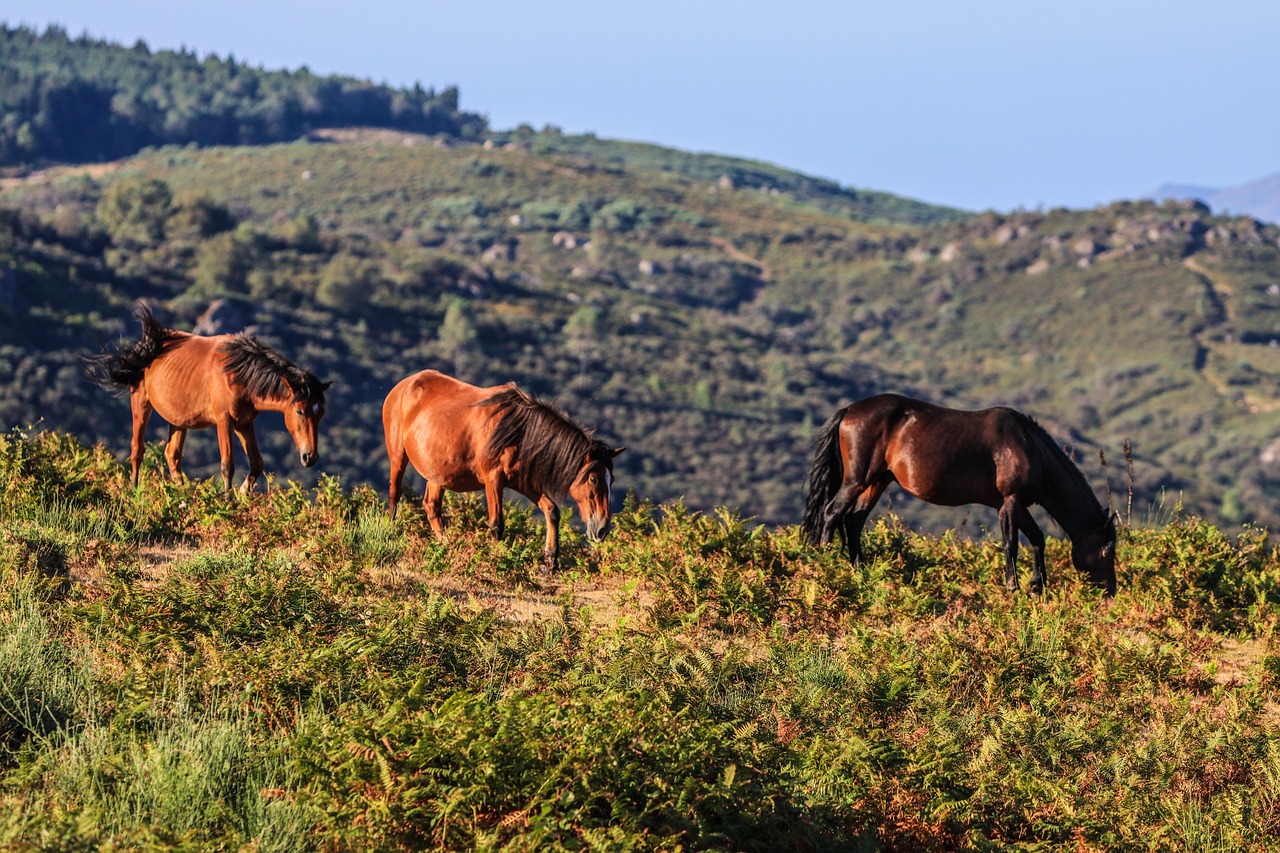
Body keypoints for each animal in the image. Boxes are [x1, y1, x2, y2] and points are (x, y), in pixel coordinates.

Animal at [84, 302, 331, 491]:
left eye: (321, 414)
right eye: (299, 410)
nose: (310, 457)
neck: (238, 374)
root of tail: (150, 343)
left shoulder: (244, 423)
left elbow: (256, 464)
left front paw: (242, 494)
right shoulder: (224, 421)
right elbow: (227, 465)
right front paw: (228, 500)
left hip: (178, 419)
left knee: (172, 454)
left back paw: (182, 495)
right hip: (141, 403)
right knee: (137, 449)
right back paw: (134, 490)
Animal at [382, 369, 624, 570]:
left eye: (611, 480)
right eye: (593, 479)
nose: (603, 529)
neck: (519, 431)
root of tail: (404, 385)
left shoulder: (523, 483)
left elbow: (552, 511)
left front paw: (550, 561)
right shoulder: (493, 479)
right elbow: (496, 524)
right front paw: (498, 559)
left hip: (438, 473)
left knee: (432, 507)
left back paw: (447, 546)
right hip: (398, 456)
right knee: (395, 494)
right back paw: (391, 533)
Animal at [802, 393, 1117, 596]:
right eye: (1107, 550)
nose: (1110, 591)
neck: (1030, 446)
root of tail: (849, 410)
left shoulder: (1012, 504)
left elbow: (1038, 539)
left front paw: (1037, 585)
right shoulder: (1011, 502)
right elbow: (1012, 544)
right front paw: (1013, 586)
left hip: (877, 481)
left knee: (853, 521)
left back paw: (860, 570)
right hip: (857, 479)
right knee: (832, 513)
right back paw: (825, 561)